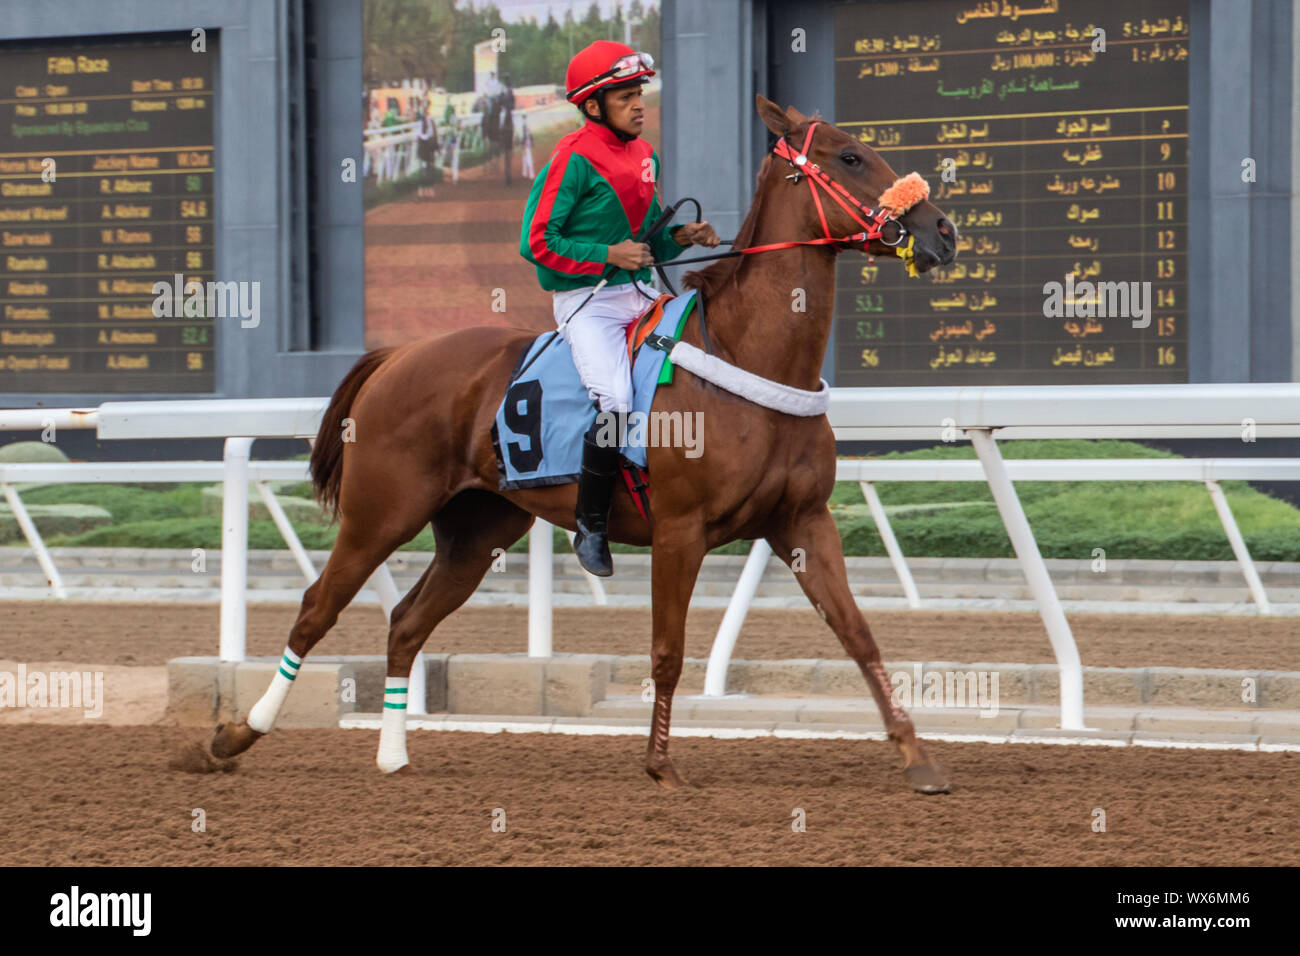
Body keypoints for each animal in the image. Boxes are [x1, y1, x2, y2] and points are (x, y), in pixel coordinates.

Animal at [211, 95, 959, 794]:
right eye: (851, 156)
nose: (941, 229)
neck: (748, 355)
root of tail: (397, 356)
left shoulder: (802, 520)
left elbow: (859, 634)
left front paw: (918, 759)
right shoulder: (680, 531)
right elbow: (667, 650)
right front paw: (660, 764)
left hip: (477, 530)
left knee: (405, 622)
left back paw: (392, 755)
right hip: (381, 514)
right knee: (318, 608)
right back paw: (235, 735)